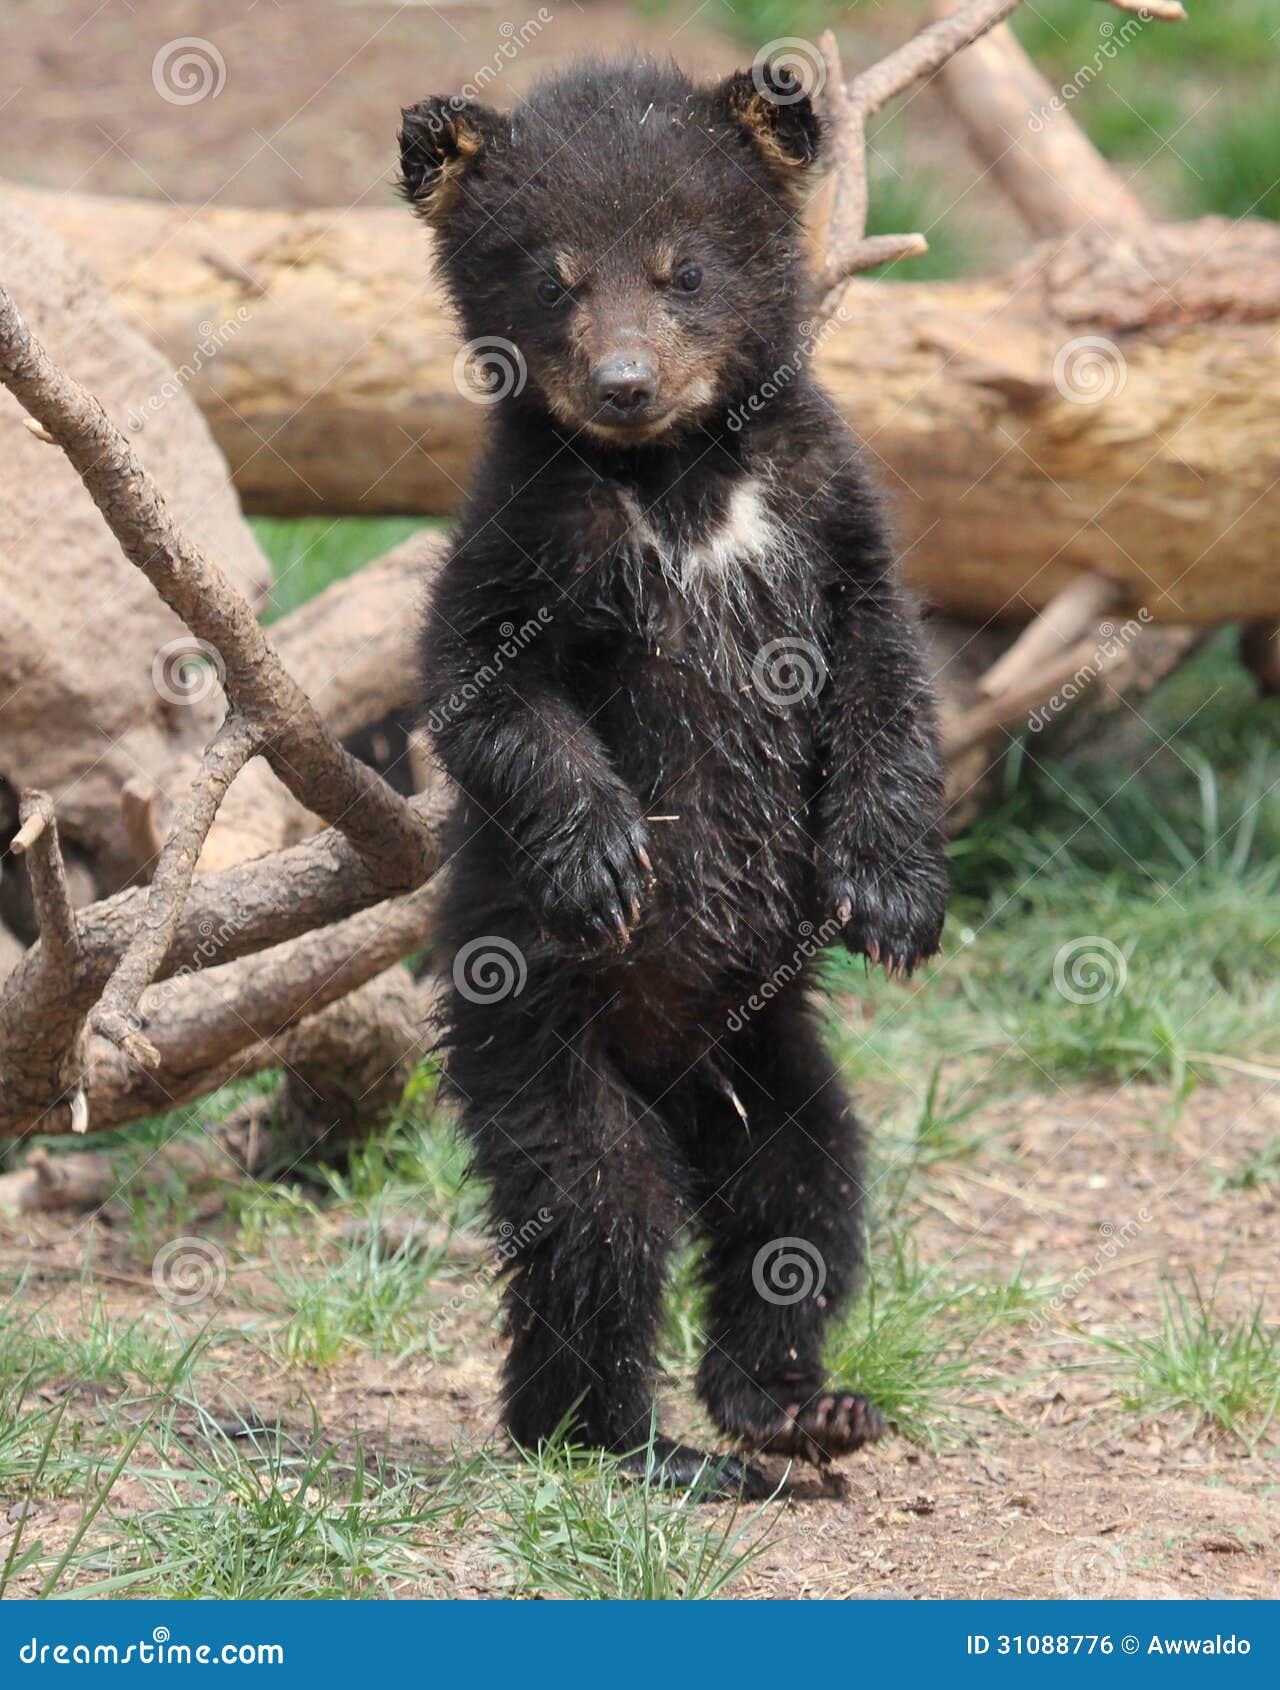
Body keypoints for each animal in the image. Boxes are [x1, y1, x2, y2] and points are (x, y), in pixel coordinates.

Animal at [400, 56, 948, 1497]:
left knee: (799, 1198)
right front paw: (604, 856)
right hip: (530, 1037)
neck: (676, 478)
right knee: (599, 1211)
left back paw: (794, 1405)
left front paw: (893, 893)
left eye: (683, 268)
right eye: (552, 277)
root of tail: (666, 1067)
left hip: (768, 1052)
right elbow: (482, 687)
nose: (625, 383)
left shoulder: (820, 501)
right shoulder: (528, 521)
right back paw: (618, 1437)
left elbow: (883, 664)